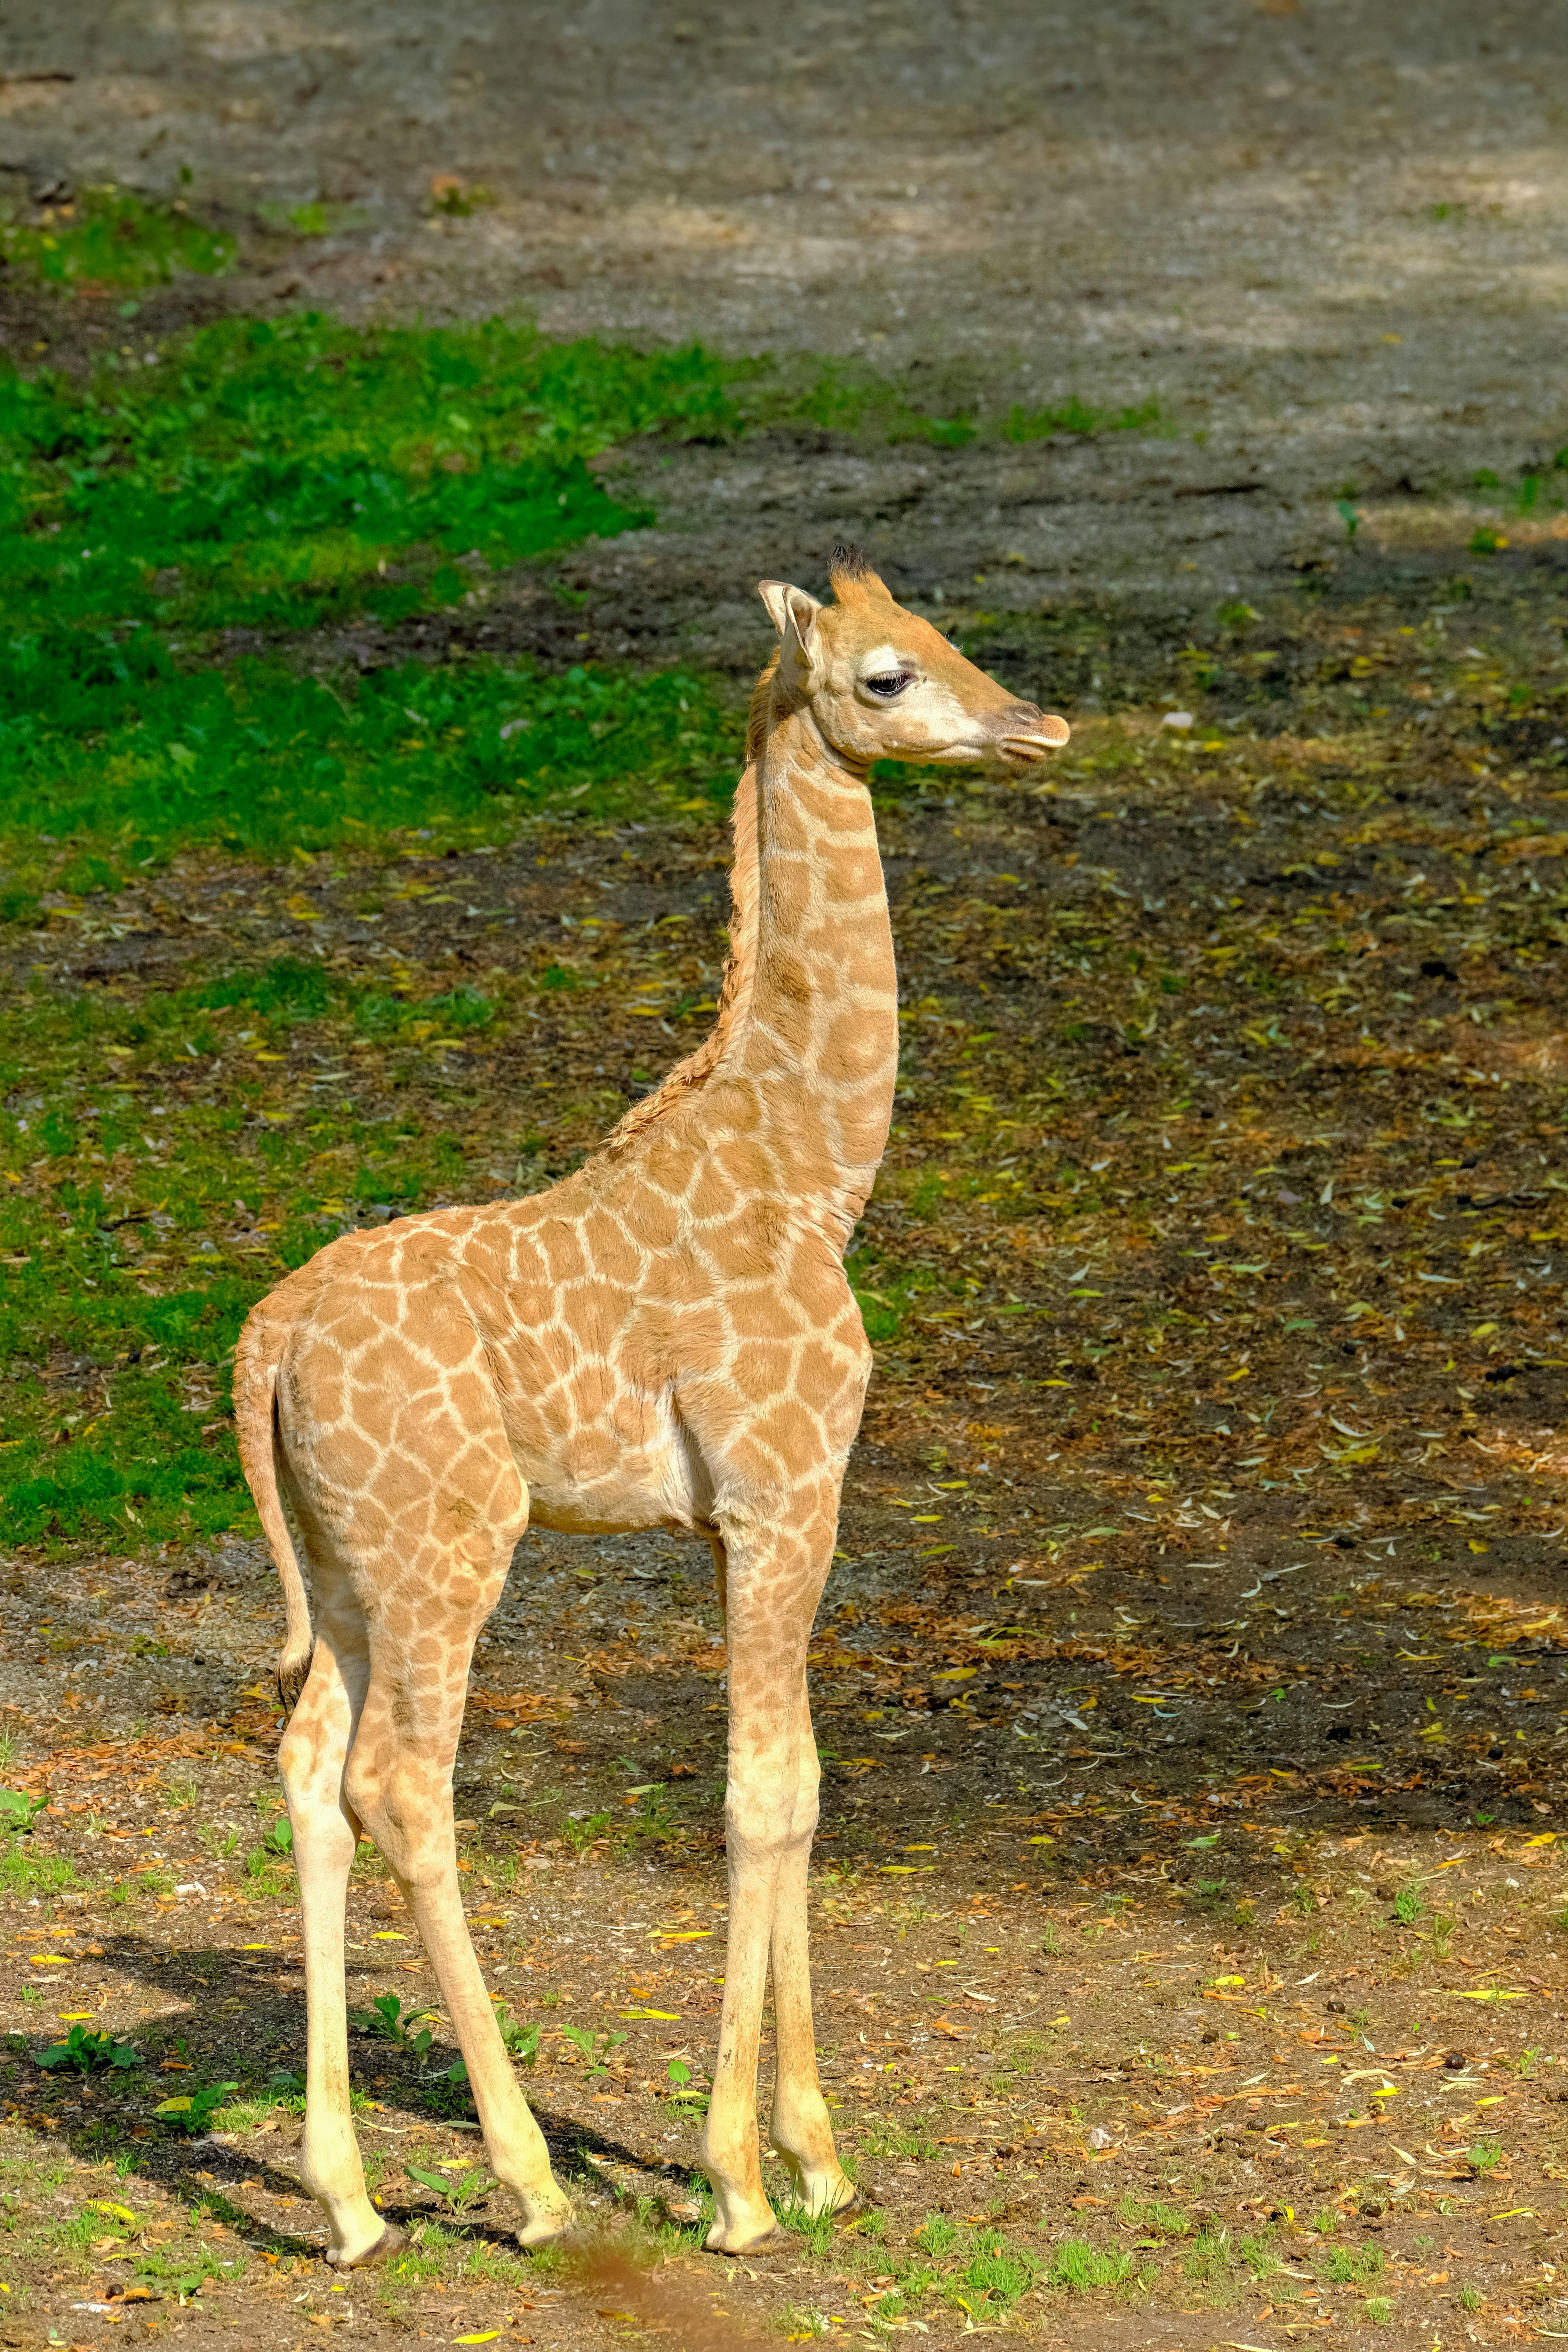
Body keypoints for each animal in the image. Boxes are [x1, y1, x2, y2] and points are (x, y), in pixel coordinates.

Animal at [233, 546, 1069, 2264]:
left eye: (942, 630)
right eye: (885, 674)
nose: (1037, 725)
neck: (816, 1171)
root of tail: (259, 1345)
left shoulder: (755, 1517)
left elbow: (805, 1782)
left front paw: (819, 2155)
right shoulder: (779, 1491)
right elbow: (757, 1793)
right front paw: (738, 2182)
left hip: (343, 1567)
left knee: (304, 1769)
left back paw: (348, 2202)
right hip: (449, 1547)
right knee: (398, 1782)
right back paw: (532, 2184)